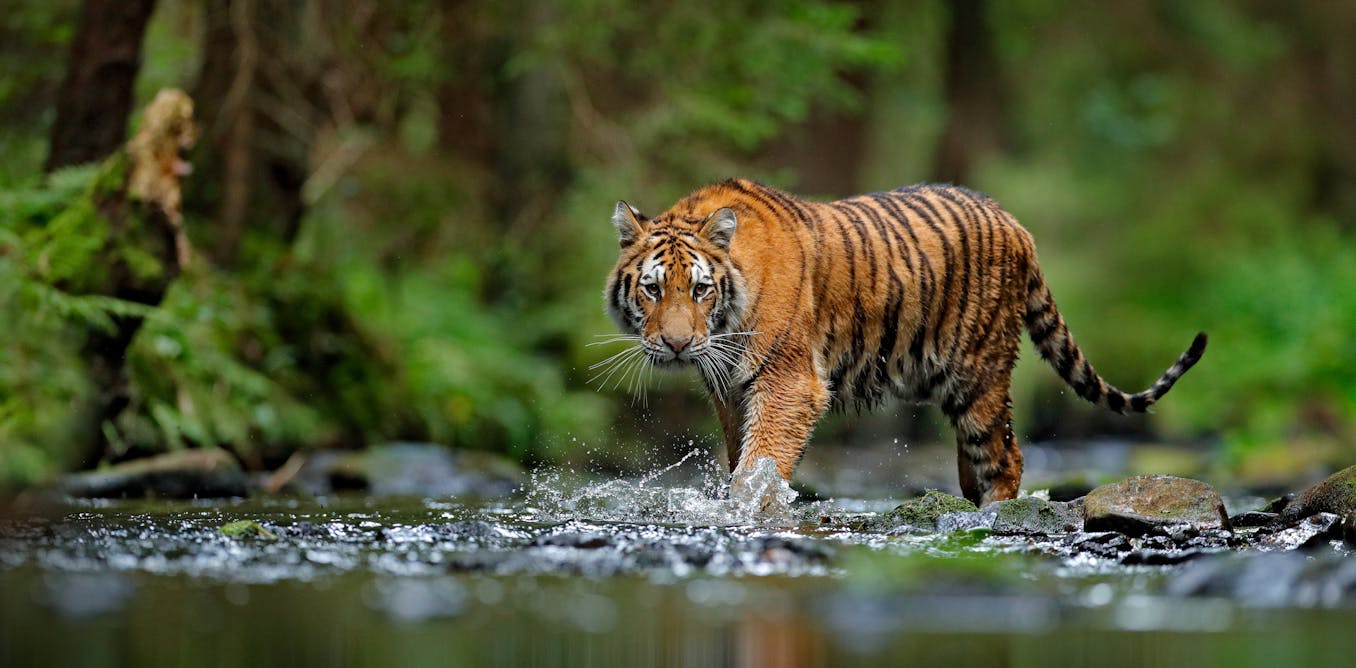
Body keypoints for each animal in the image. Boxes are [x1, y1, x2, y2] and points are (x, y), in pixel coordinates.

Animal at [602, 179, 1207, 506]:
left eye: (700, 289)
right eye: (653, 289)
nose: (677, 345)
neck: (725, 323)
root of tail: (1016, 224)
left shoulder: (788, 384)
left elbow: (760, 463)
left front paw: (749, 510)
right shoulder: (730, 391)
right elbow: (739, 459)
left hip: (979, 374)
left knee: (1006, 456)